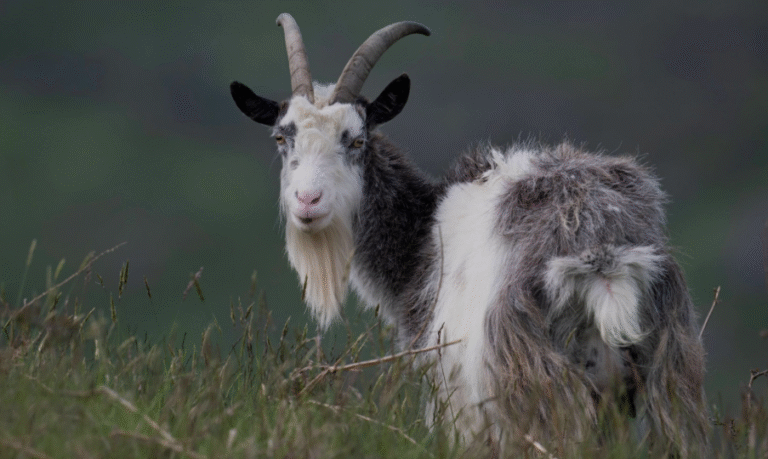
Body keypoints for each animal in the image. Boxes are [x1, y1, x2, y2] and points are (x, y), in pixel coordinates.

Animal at [230, 13, 709, 455]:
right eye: (281, 138)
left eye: (356, 140)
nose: (307, 201)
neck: (423, 235)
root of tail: (601, 256)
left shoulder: (454, 399)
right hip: (667, 381)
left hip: (530, 389)